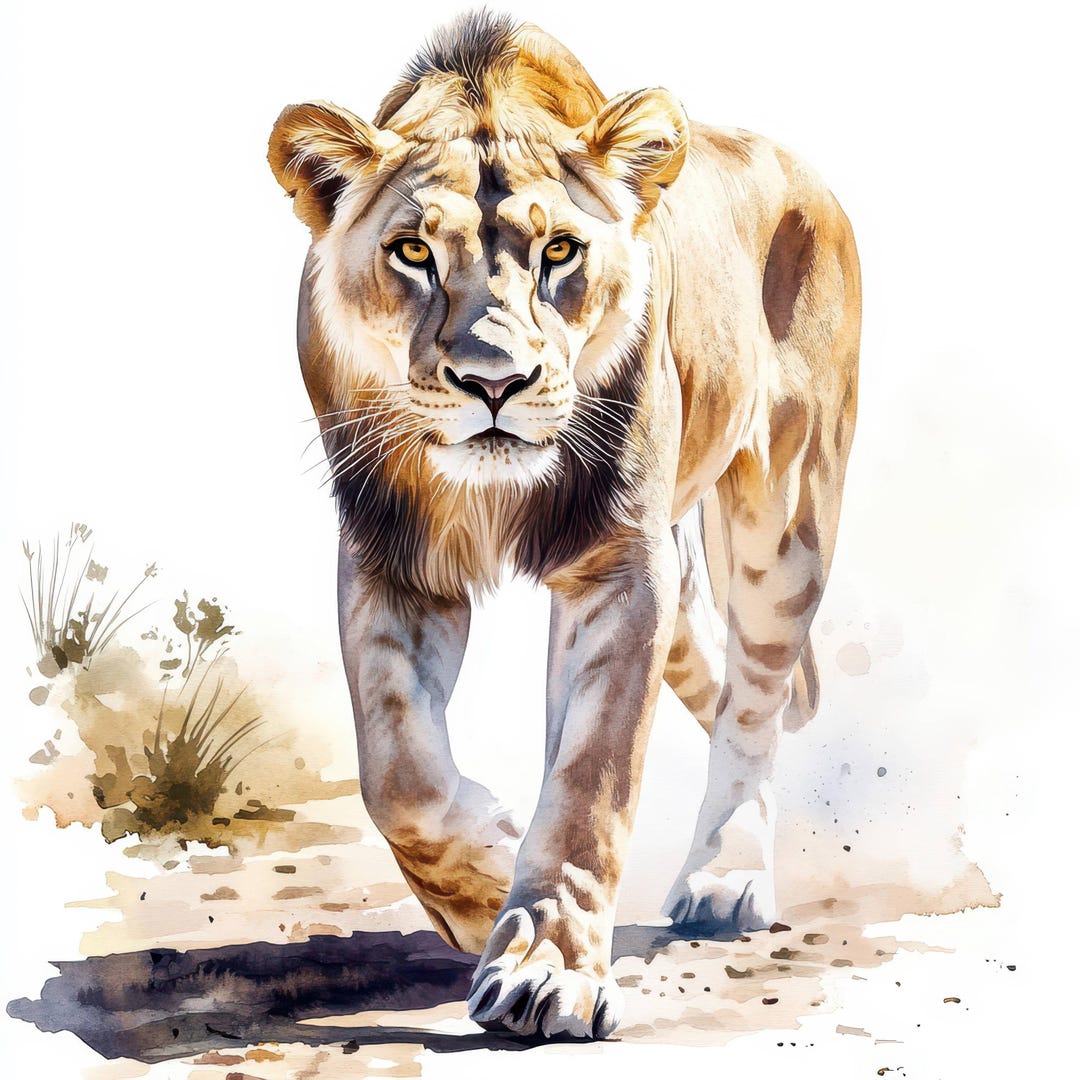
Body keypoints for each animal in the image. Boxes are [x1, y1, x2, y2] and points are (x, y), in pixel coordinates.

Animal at [267, 10, 859, 1039]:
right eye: (413, 253)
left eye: (560, 255)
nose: (494, 382)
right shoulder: (392, 557)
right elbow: (398, 774)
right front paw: (484, 882)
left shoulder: (619, 564)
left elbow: (590, 782)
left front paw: (548, 970)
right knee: (716, 670)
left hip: (785, 517)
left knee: (754, 697)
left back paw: (726, 877)